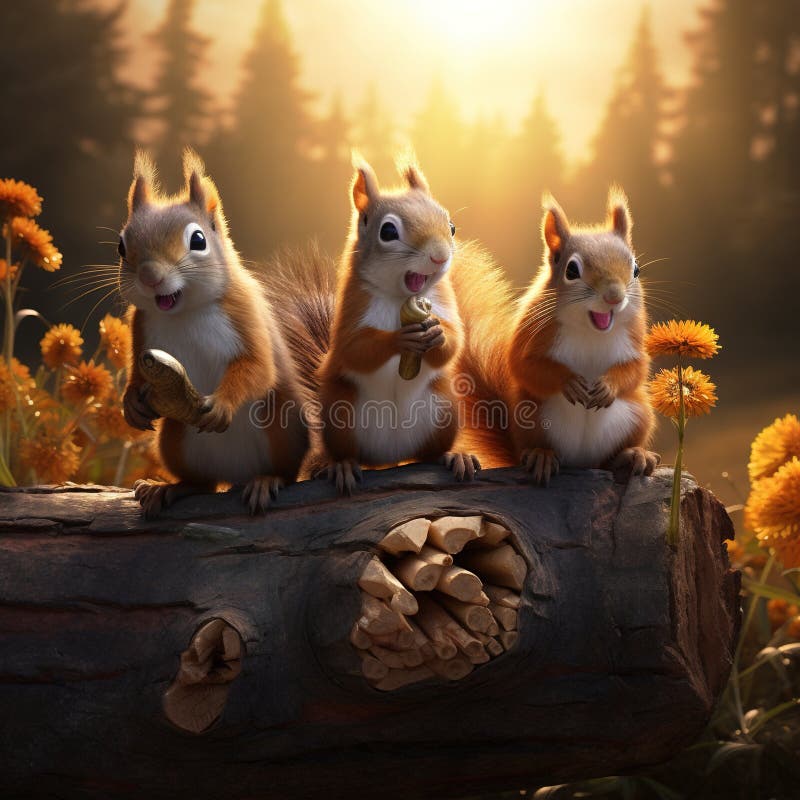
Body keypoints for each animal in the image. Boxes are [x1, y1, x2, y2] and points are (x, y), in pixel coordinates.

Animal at [119, 149, 309, 516]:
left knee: (285, 472)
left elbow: (257, 367)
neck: (185, 312)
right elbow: (136, 373)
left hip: (281, 429)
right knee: (203, 484)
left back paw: (267, 481)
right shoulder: (140, 327)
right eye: (121, 245)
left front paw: (222, 403)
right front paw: (131, 404)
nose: (150, 276)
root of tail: (235, 475)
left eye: (198, 240)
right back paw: (169, 489)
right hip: (175, 441)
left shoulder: (246, 315)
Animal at [309, 156, 480, 493]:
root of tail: (391, 458)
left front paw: (439, 334)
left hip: (444, 409)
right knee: (346, 451)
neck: (400, 297)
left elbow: (456, 340)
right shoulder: (353, 306)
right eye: (388, 231)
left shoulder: (443, 300)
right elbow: (355, 349)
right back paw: (339, 466)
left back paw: (454, 456)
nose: (440, 257)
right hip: (341, 414)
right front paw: (399, 339)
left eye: (451, 226)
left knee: (431, 453)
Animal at [452, 188, 659, 485]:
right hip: (534, 417)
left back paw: (633, 455)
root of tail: (583, 462)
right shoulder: (534, 330)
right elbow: (525, 366)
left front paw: (607, 386)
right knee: (536, 446)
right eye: (572, 270)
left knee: (612, 456)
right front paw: (569, 382)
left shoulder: (634, 335)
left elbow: (637, 368)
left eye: (636, 269)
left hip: (637, 414)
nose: (614, 297)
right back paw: (542, 455)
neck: (590, 329)